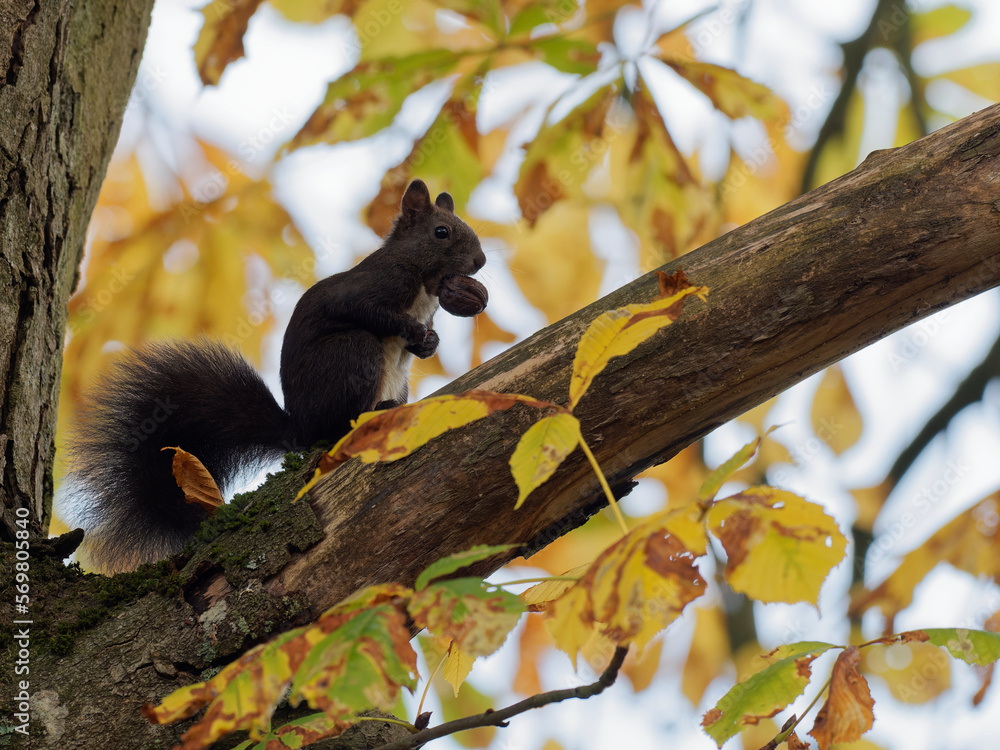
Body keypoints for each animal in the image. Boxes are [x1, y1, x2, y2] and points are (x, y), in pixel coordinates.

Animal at [65, 180, 487, 574]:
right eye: (441, 232)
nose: (481, 260)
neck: (426, 282)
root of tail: (299, 428)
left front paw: (429, 342)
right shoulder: (381, 283)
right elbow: (364, 308)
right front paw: (413, 330)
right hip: (353, 351)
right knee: (338, 423)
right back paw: (370, 415)